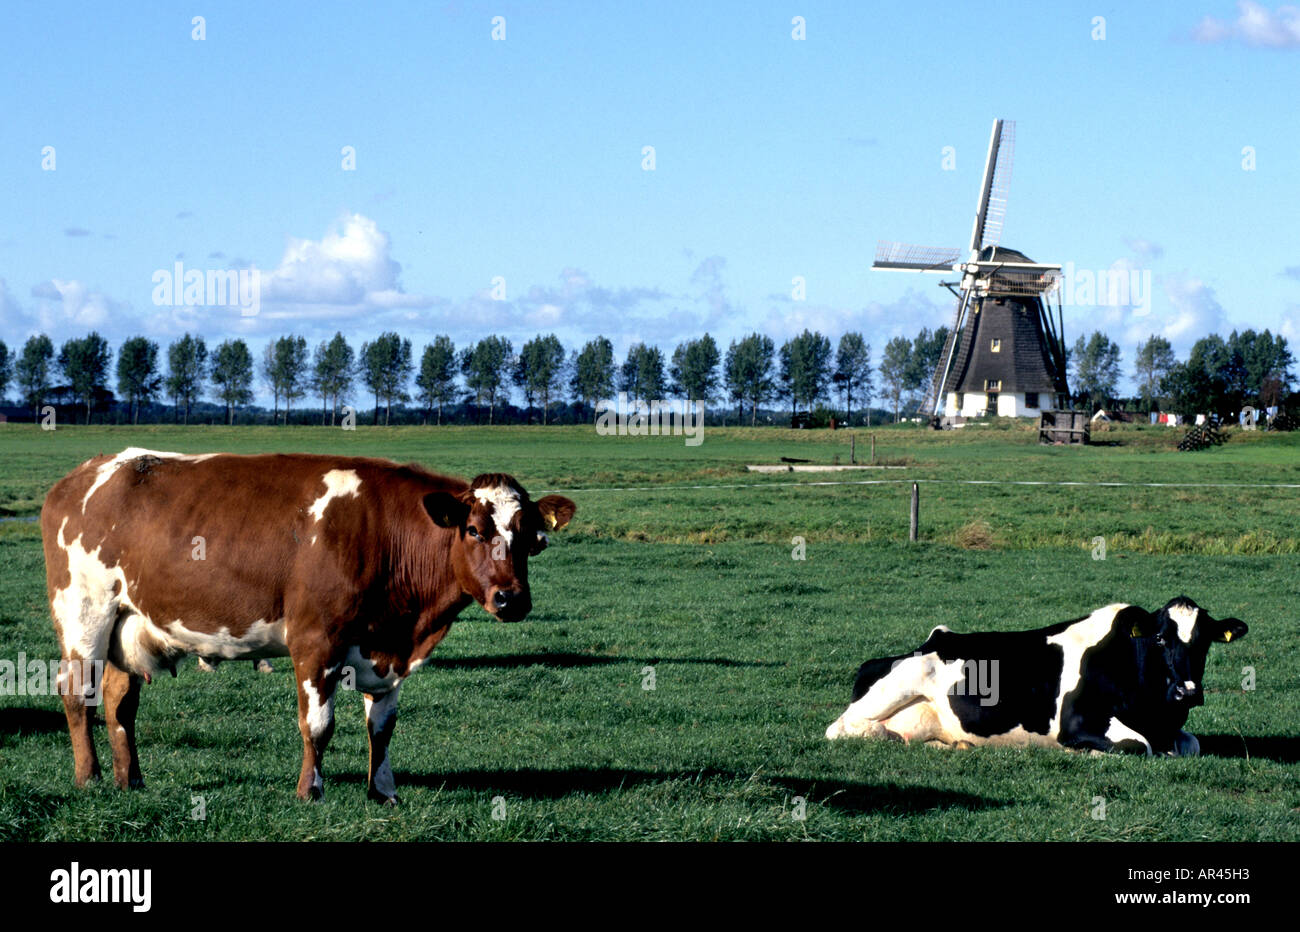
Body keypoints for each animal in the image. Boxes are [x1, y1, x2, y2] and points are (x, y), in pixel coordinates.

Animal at [41, 448, 576, 802]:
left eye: (531, 534)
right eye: (474, 530)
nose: (511, 599)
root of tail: (89, 471)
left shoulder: (386, 654)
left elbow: (382, 728)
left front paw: (383, 793)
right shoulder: (317, 641)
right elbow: (318, 725)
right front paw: (309, 791)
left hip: (127, 623)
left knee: (119, 700)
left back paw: (130, 780)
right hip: (84, 613)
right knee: (77, 693)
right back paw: (89, 779)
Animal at [825, 597, 1247, 756]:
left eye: (1204, 642)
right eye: (1160, 637)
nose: (1187, 691)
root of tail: (934, 639)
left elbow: (1192, 744)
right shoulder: (1077, 721)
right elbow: (1136, 744)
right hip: (897, 685)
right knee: (840, 727)